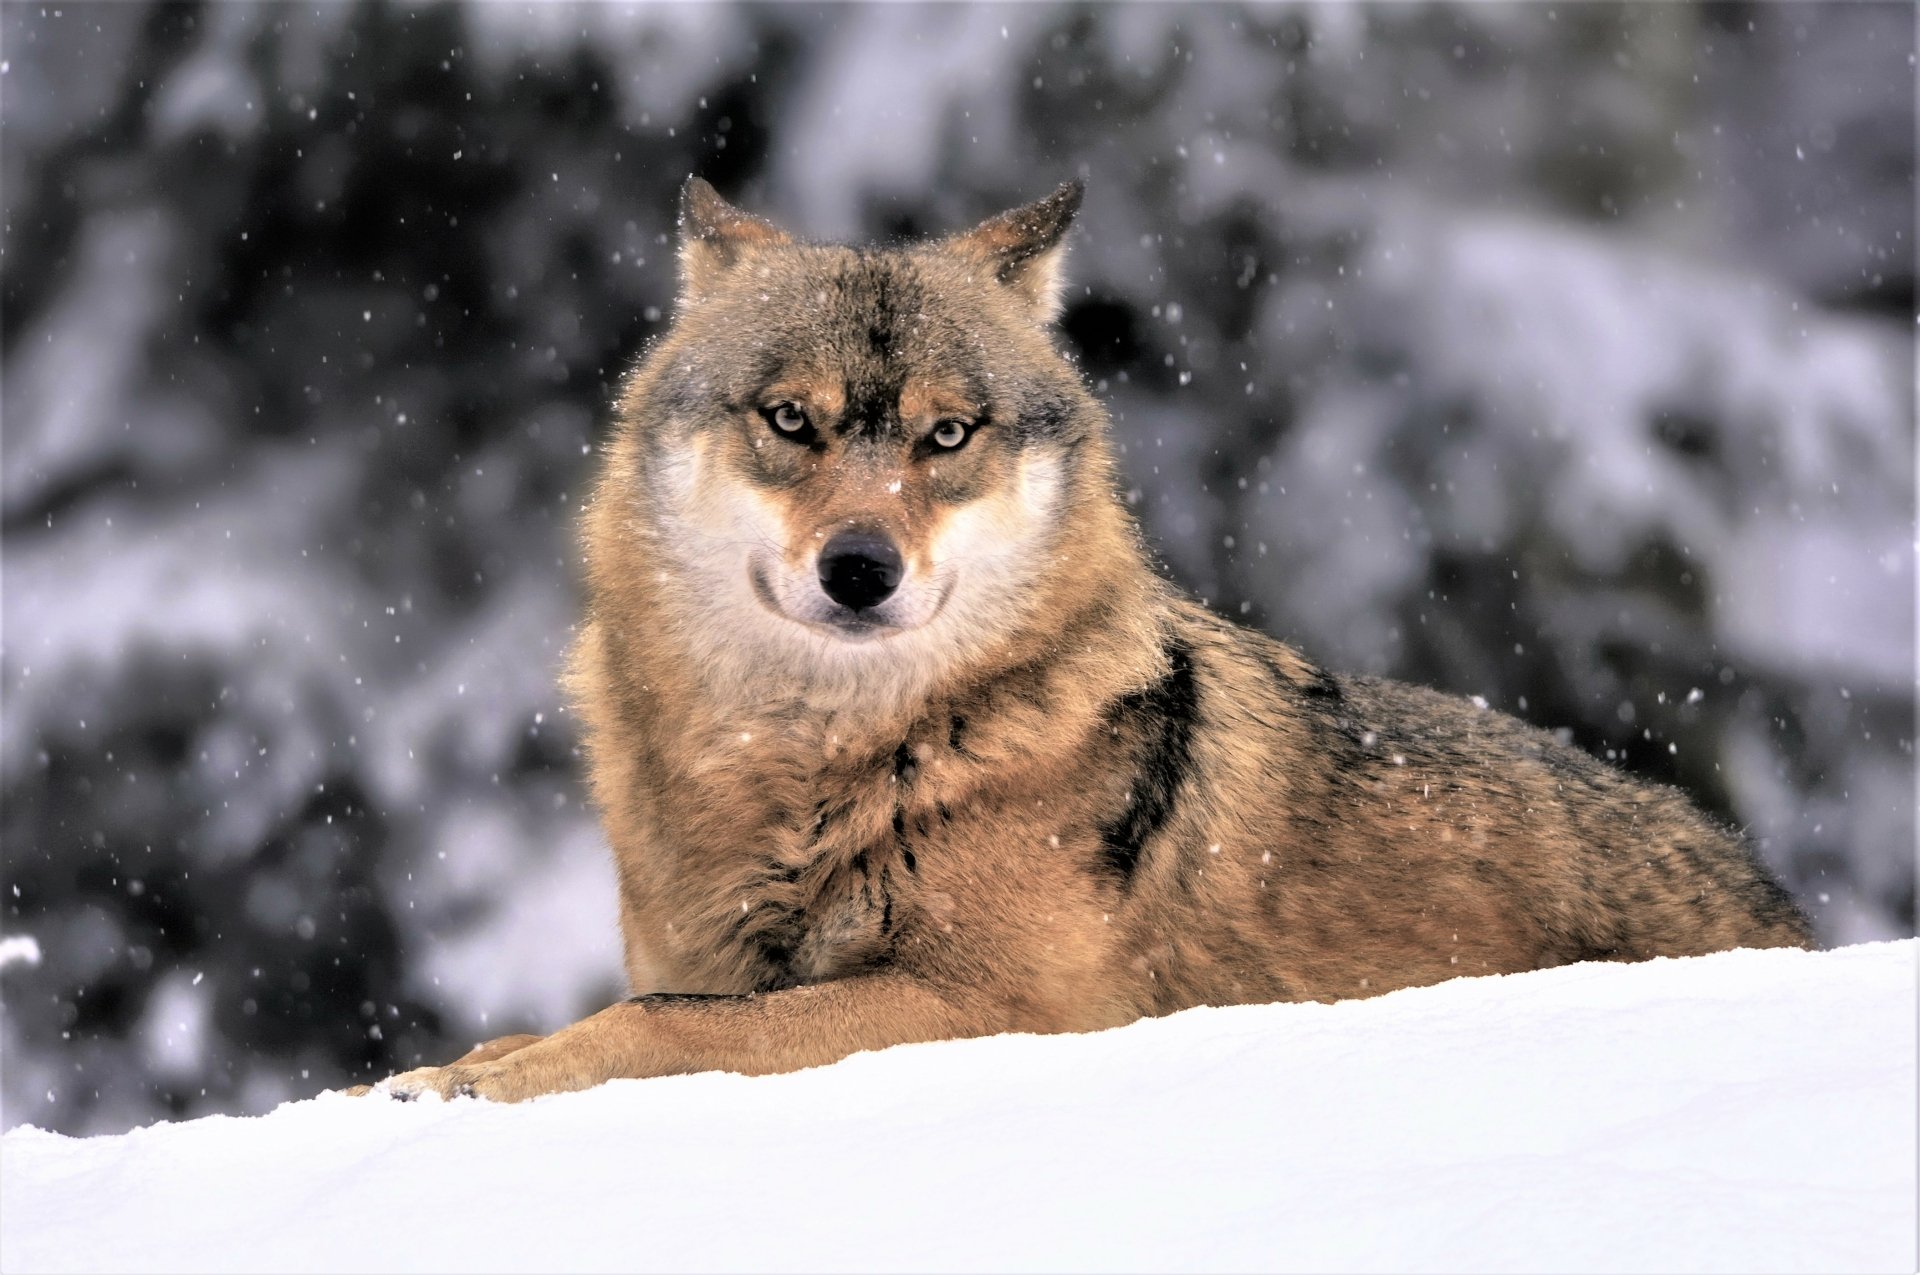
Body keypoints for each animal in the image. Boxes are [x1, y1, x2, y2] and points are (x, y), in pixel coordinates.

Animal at [366, 179, 1810, 1102]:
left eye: (947, 434)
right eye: (791, 420)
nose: (860, 568)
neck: (816, 768)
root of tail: (1780, 907)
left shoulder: (985, 1004)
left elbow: (663, 1025)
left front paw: (483, 1084)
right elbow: (631, 1005)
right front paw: (452, 1067)